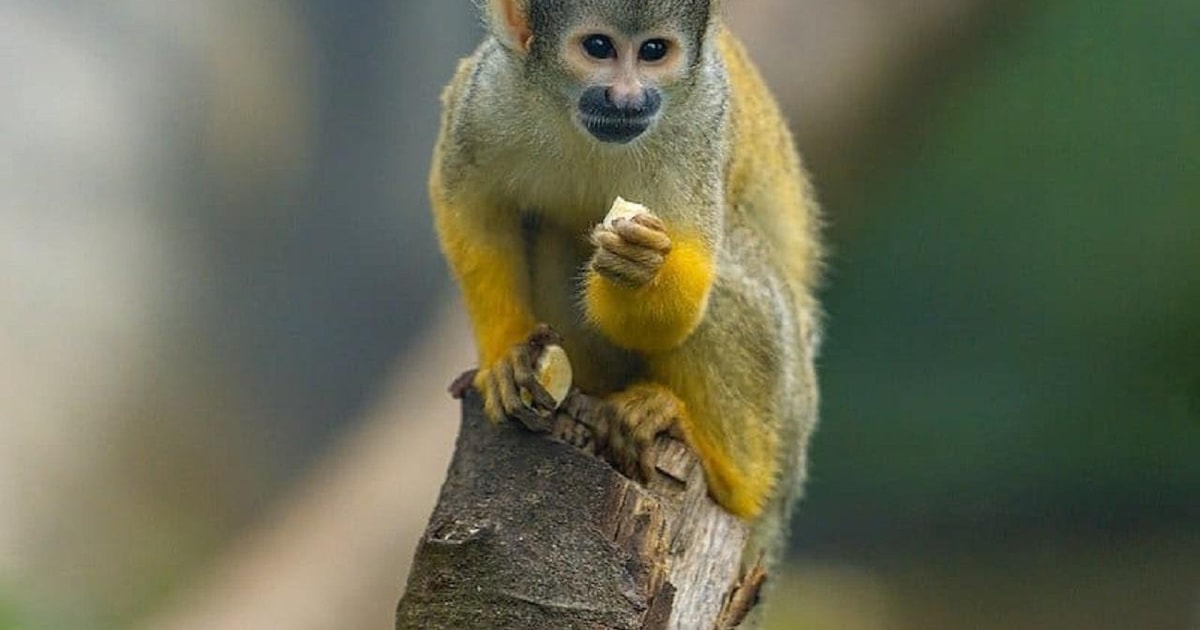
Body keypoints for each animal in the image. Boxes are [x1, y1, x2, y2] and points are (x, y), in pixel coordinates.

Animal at [430, 0, 822, 622]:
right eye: (598, 47)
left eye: (655, 51)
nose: (628, 99)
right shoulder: (489, 95)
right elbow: (470, 209)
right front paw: (508, 357)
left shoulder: (700, 124)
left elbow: (688, 299)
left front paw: (641, 267)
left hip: (789, 407)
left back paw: (725, 463)